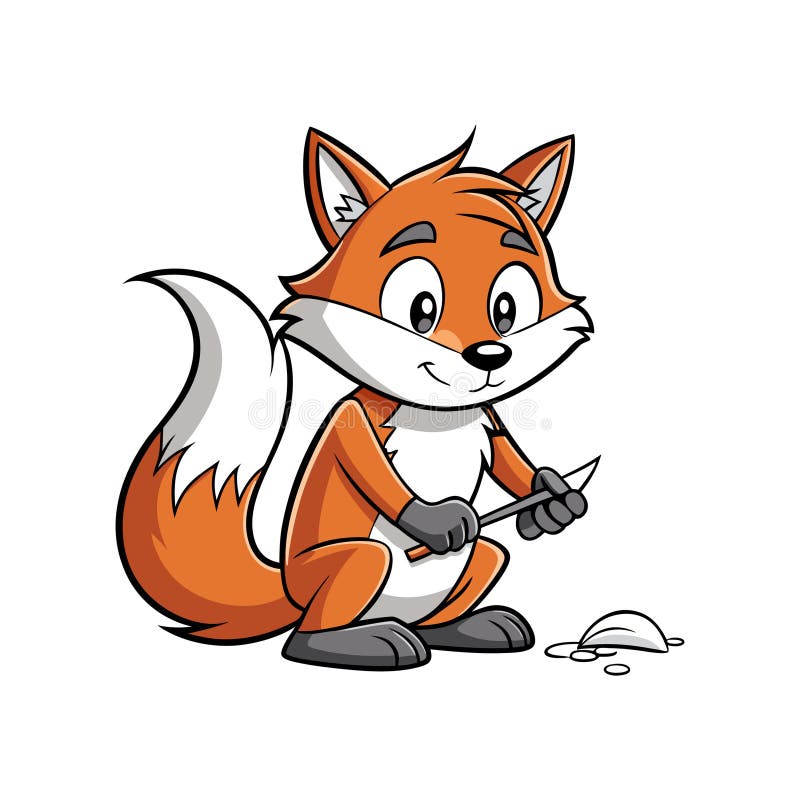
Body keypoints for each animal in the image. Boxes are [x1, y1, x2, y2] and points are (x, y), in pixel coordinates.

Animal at [117, 128, 593, 670]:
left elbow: (513, 463)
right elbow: (371, 469)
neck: (440, 414)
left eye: (507, 308)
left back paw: (466, 626)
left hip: (476, 562)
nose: (490, 355)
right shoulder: (355, 415)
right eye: (421, 308)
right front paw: (439, 520)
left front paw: (555, 495)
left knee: (482, 562)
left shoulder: (487, 421)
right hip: (356, 562)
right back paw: (363, 641)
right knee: (306, 635)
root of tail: (289, 592)